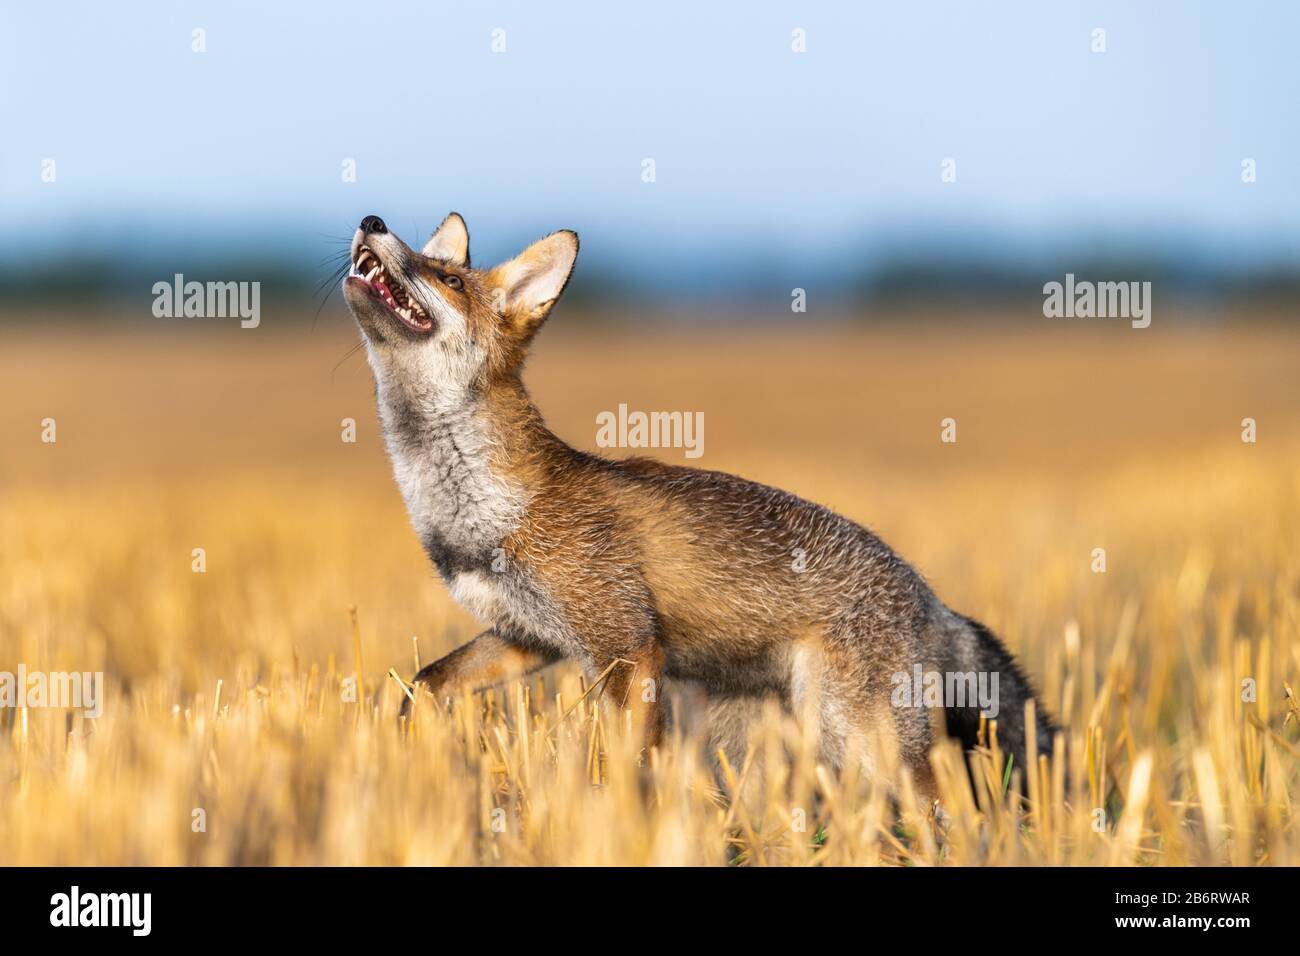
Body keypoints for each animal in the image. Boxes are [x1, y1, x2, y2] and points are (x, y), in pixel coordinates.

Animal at [342, 211, 1058, 799]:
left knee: (944, 808)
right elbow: (422, 682)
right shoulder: (527, 636)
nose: (371, 220)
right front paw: (402, 747)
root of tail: (931, 599)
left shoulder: (628, 647)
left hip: (862, 737)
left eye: (446, 278)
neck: (479, 510)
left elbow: (629, 766)